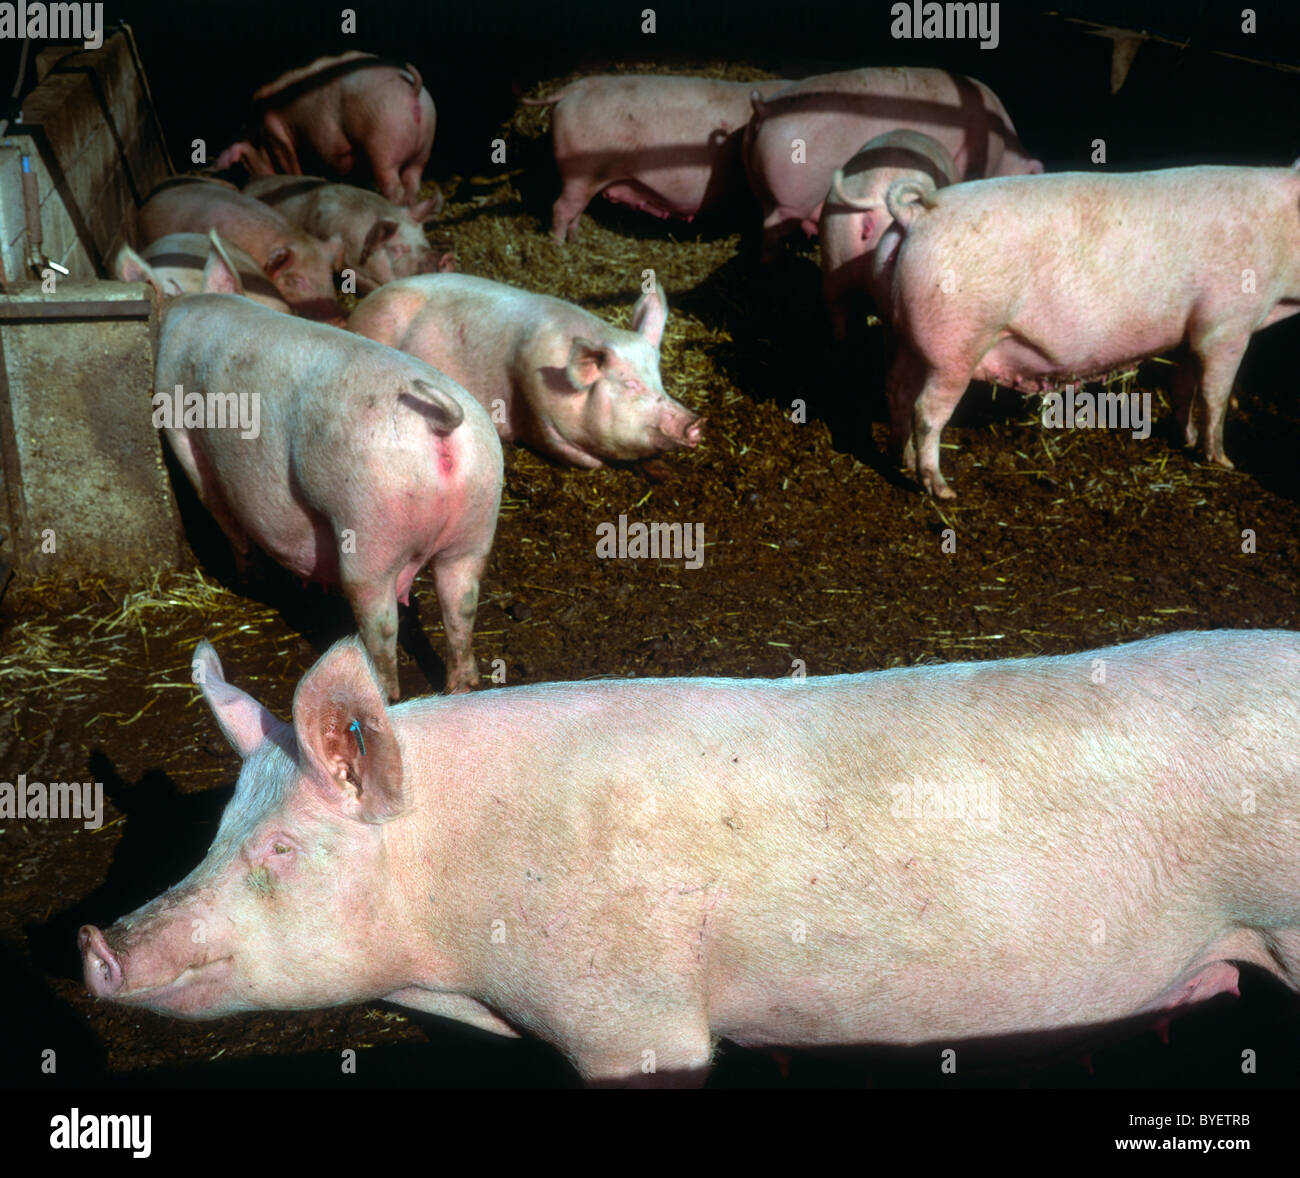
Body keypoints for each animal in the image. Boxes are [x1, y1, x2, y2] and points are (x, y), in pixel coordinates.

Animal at [216, 51, 436, 208]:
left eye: (243, 163)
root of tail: (413, 89)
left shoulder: (276, 134)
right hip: (424, 145)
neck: (256, 134)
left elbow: (289, 162)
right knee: (413, 182)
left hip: (383, 143)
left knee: (393, 185)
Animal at [347, 273, 704, 468]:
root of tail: (361, 308)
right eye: (630, 385)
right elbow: (584, 459)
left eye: (659, 381)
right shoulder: (537, 408)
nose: (696, 422)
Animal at [525, 74, 791, 243]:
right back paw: (559, 250)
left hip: (585, 178)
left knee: (576, 210)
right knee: (561, 209)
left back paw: (576, 242)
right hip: (580, 172)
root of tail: (576, 88)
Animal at [878, 163, 1300, 499]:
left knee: (897, 392)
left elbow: (1183, 389)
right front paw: (1223, 461)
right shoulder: (1225, 325)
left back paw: (903, 460)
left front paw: (1188, 440)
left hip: (907, 339)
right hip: (957, 345)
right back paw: (941, 489)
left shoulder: (1187, 335)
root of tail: (915, 215)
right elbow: (1216, 396)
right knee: (927, 411)